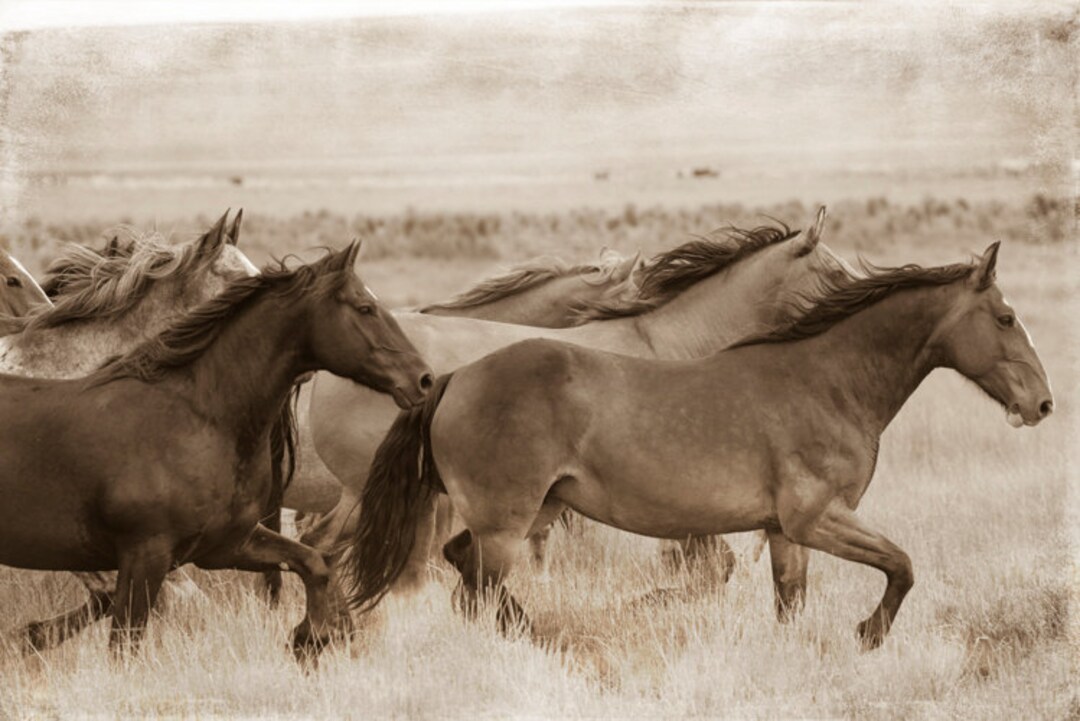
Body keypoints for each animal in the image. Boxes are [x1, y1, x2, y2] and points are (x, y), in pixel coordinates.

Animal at [0, 242, 433, 659]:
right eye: (365, 308)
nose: (423, 379)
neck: (200, 419)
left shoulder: (226, 544)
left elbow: (313, 562)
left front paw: (313, 637)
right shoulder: (145, 555)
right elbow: (124, 647)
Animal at [346, 242, 1053, 650]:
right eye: (1006, 318)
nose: (1042, 404)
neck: (825, 380)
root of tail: (454, 378)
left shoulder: (785, 531)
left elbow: (789, 602)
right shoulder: (817, 518)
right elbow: (902, 565)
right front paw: (868, 634)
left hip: (533, 511)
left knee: (464, 569)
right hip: (507, 523)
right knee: (478, 588)